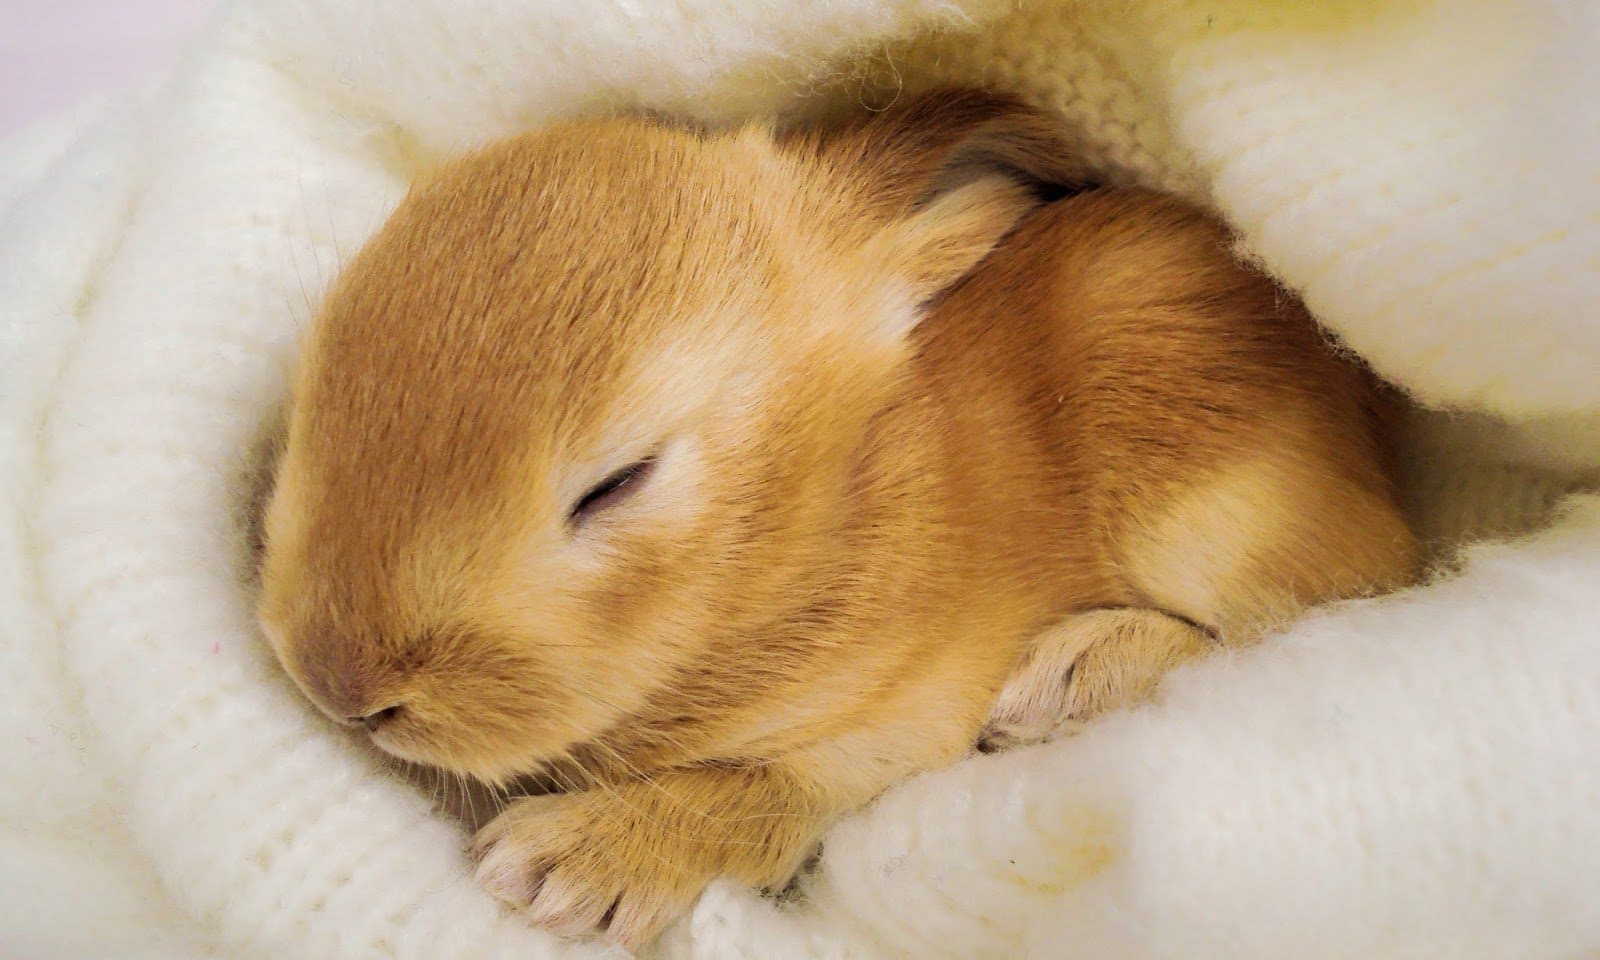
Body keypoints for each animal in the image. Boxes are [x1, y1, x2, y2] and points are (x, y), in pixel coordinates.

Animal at [255, 89, 1419, 949]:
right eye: (320, 371)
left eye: (616, 483)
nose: (340, 684)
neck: (802, 525)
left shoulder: (884, 729)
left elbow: (750, 797)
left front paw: (556, 865)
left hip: (1204, 496)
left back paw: (1066, 678)